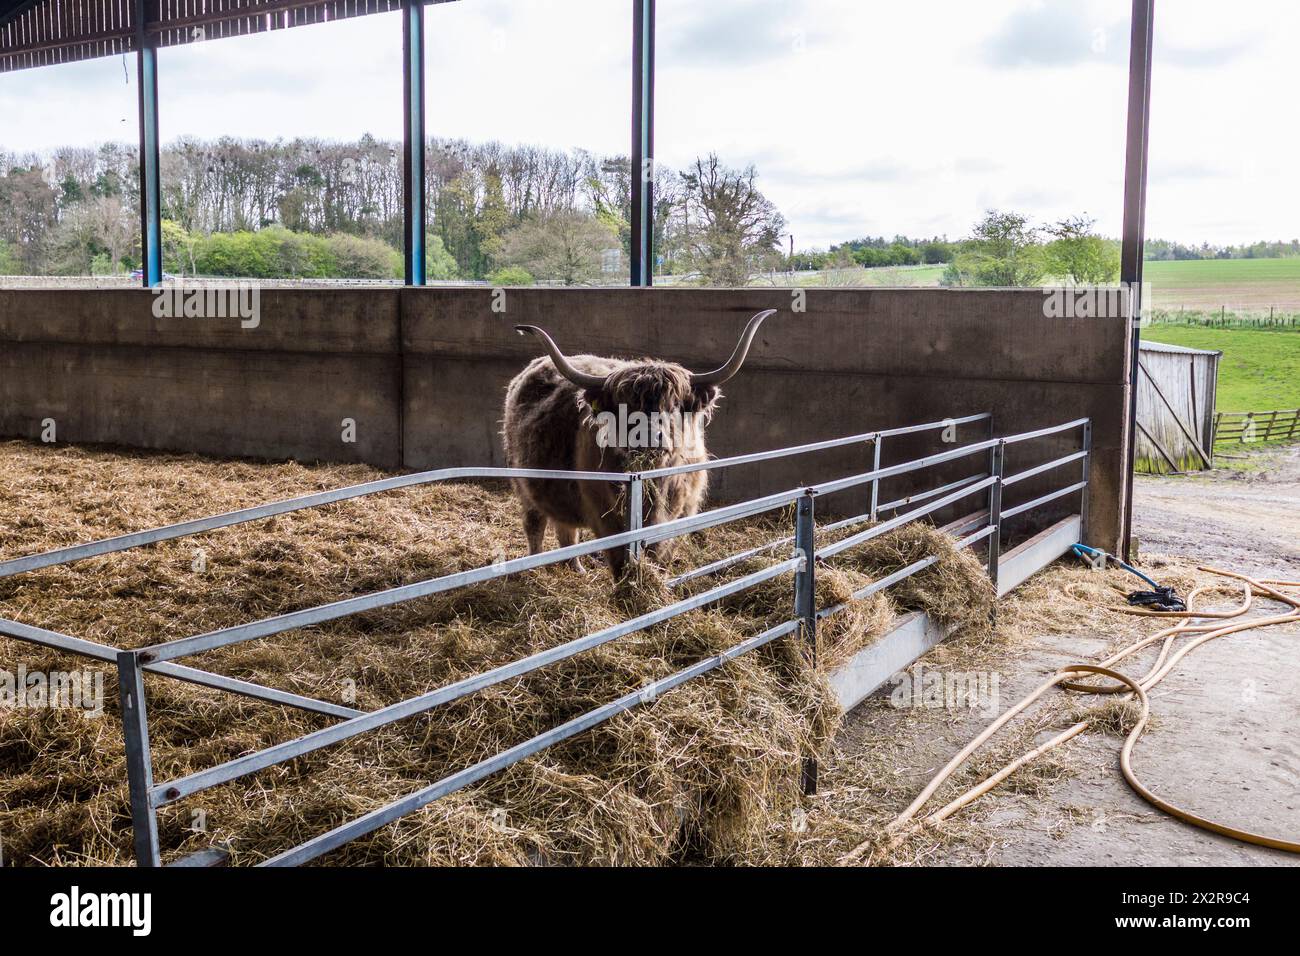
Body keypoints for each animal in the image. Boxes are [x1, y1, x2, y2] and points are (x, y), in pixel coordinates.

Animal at [502, 310, 776, 579]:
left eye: (674, 405)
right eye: (624, 408)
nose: (649, 436)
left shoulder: (680, 516)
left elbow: (660, 557)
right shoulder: (606, 517)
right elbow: (620, 560)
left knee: (565, 528)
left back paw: (576, 568)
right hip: (522, 482)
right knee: (535, 524)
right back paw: (534, 568)